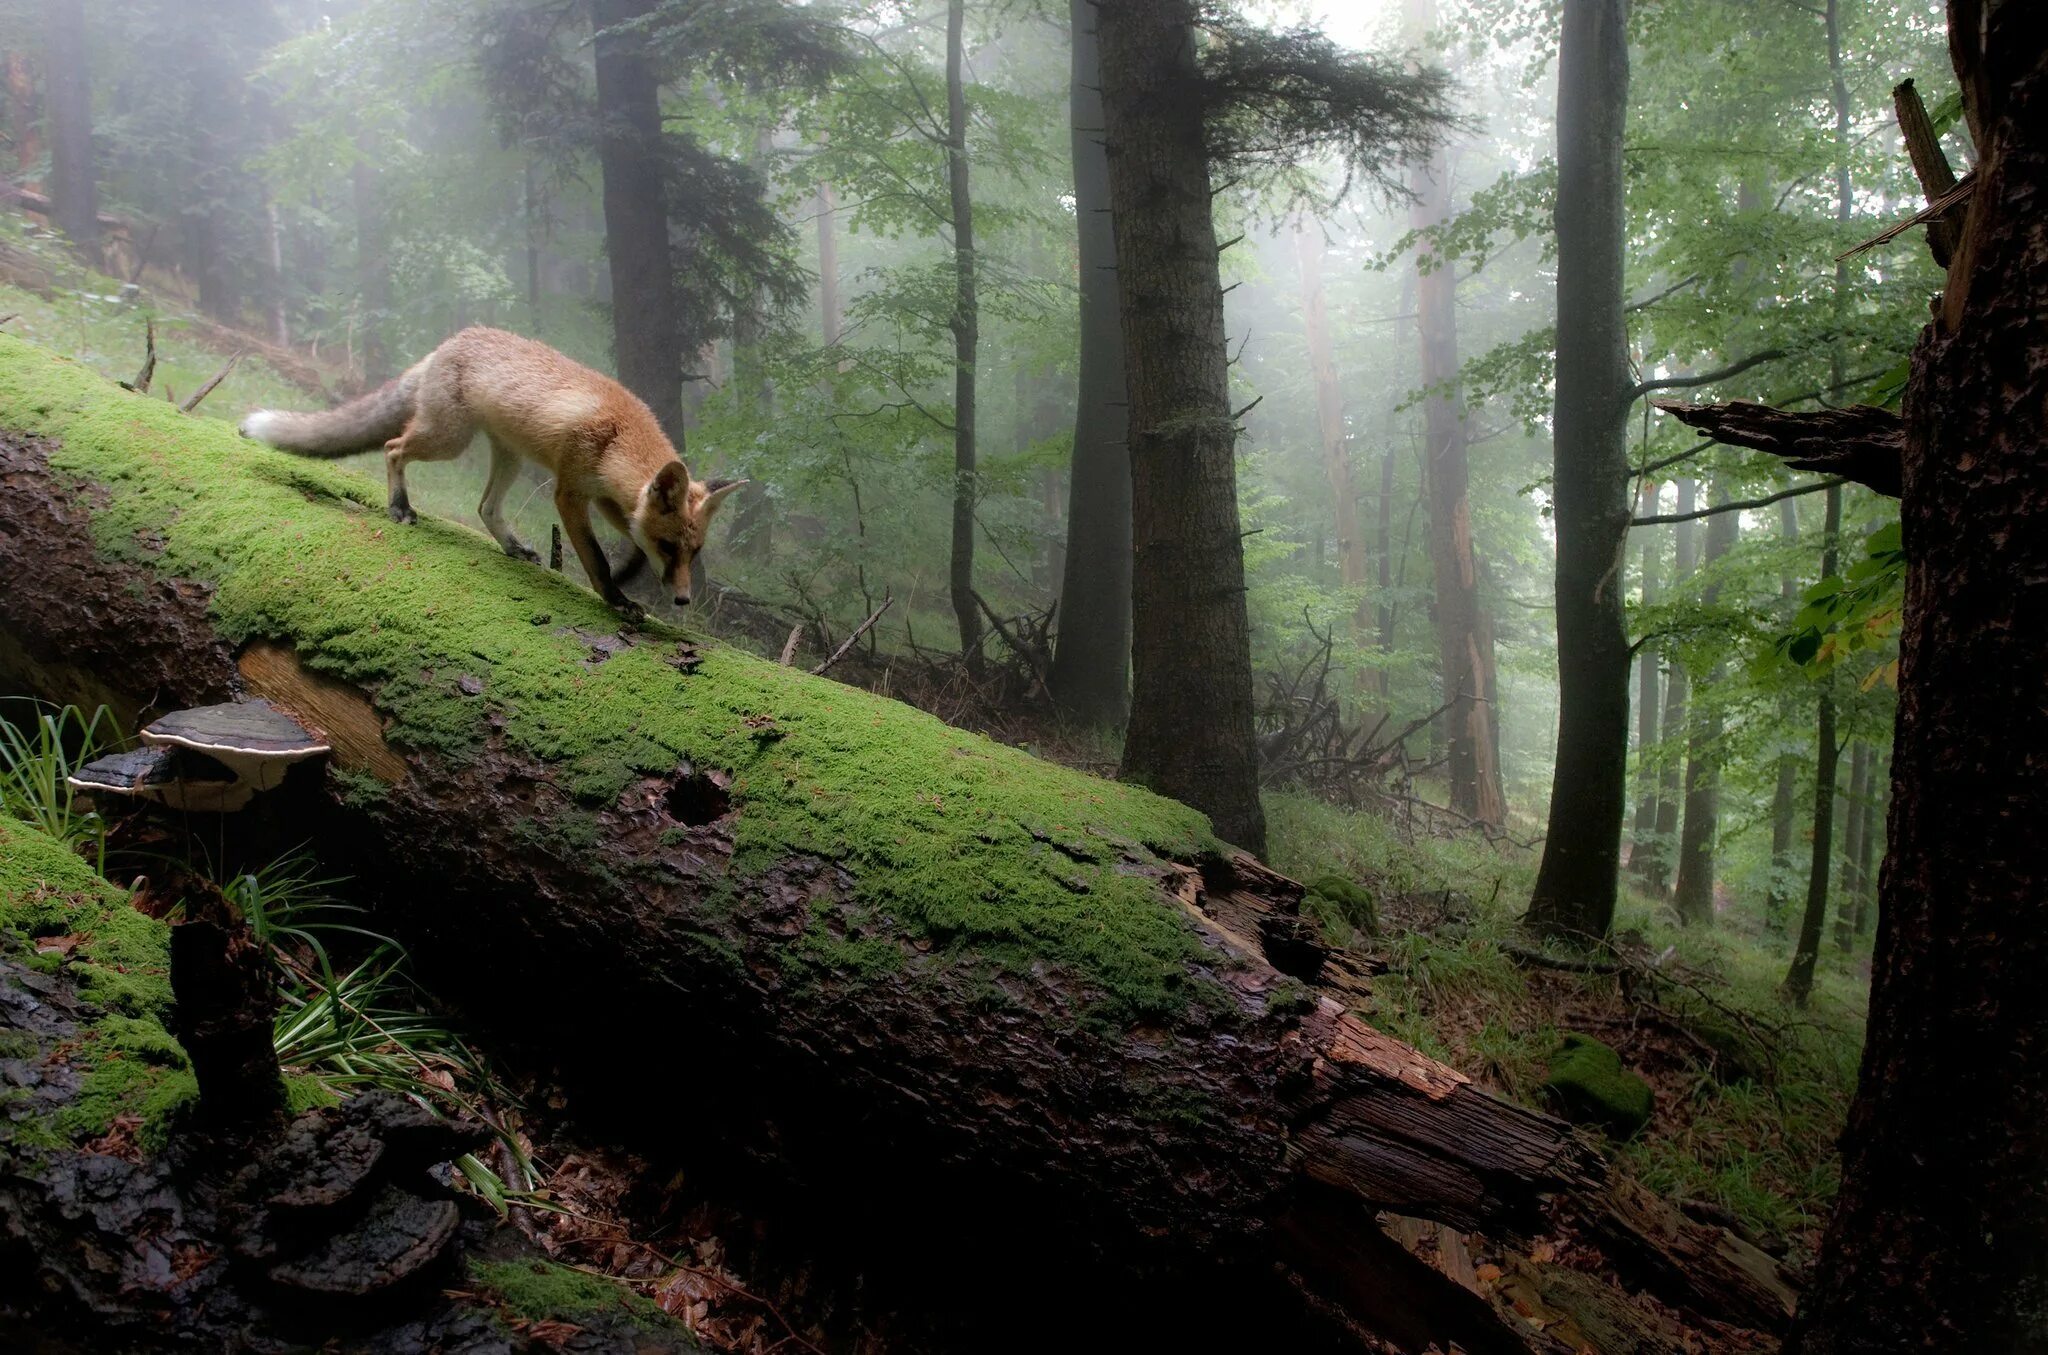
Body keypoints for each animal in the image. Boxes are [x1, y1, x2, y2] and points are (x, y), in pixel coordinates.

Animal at [237, 329, 745, 622]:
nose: (683, 601)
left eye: (694, 552)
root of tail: (449, 342)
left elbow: (630, 544)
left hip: (509, 459)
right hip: (448, 439)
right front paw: (615, 597)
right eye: (670, 547)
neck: (616, 438)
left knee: (484, 507)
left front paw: (627, 575)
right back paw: (399, 506)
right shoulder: (570, 493)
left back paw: (513, 547)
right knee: (392, 448)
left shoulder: (607, 498)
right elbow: (596, 558)